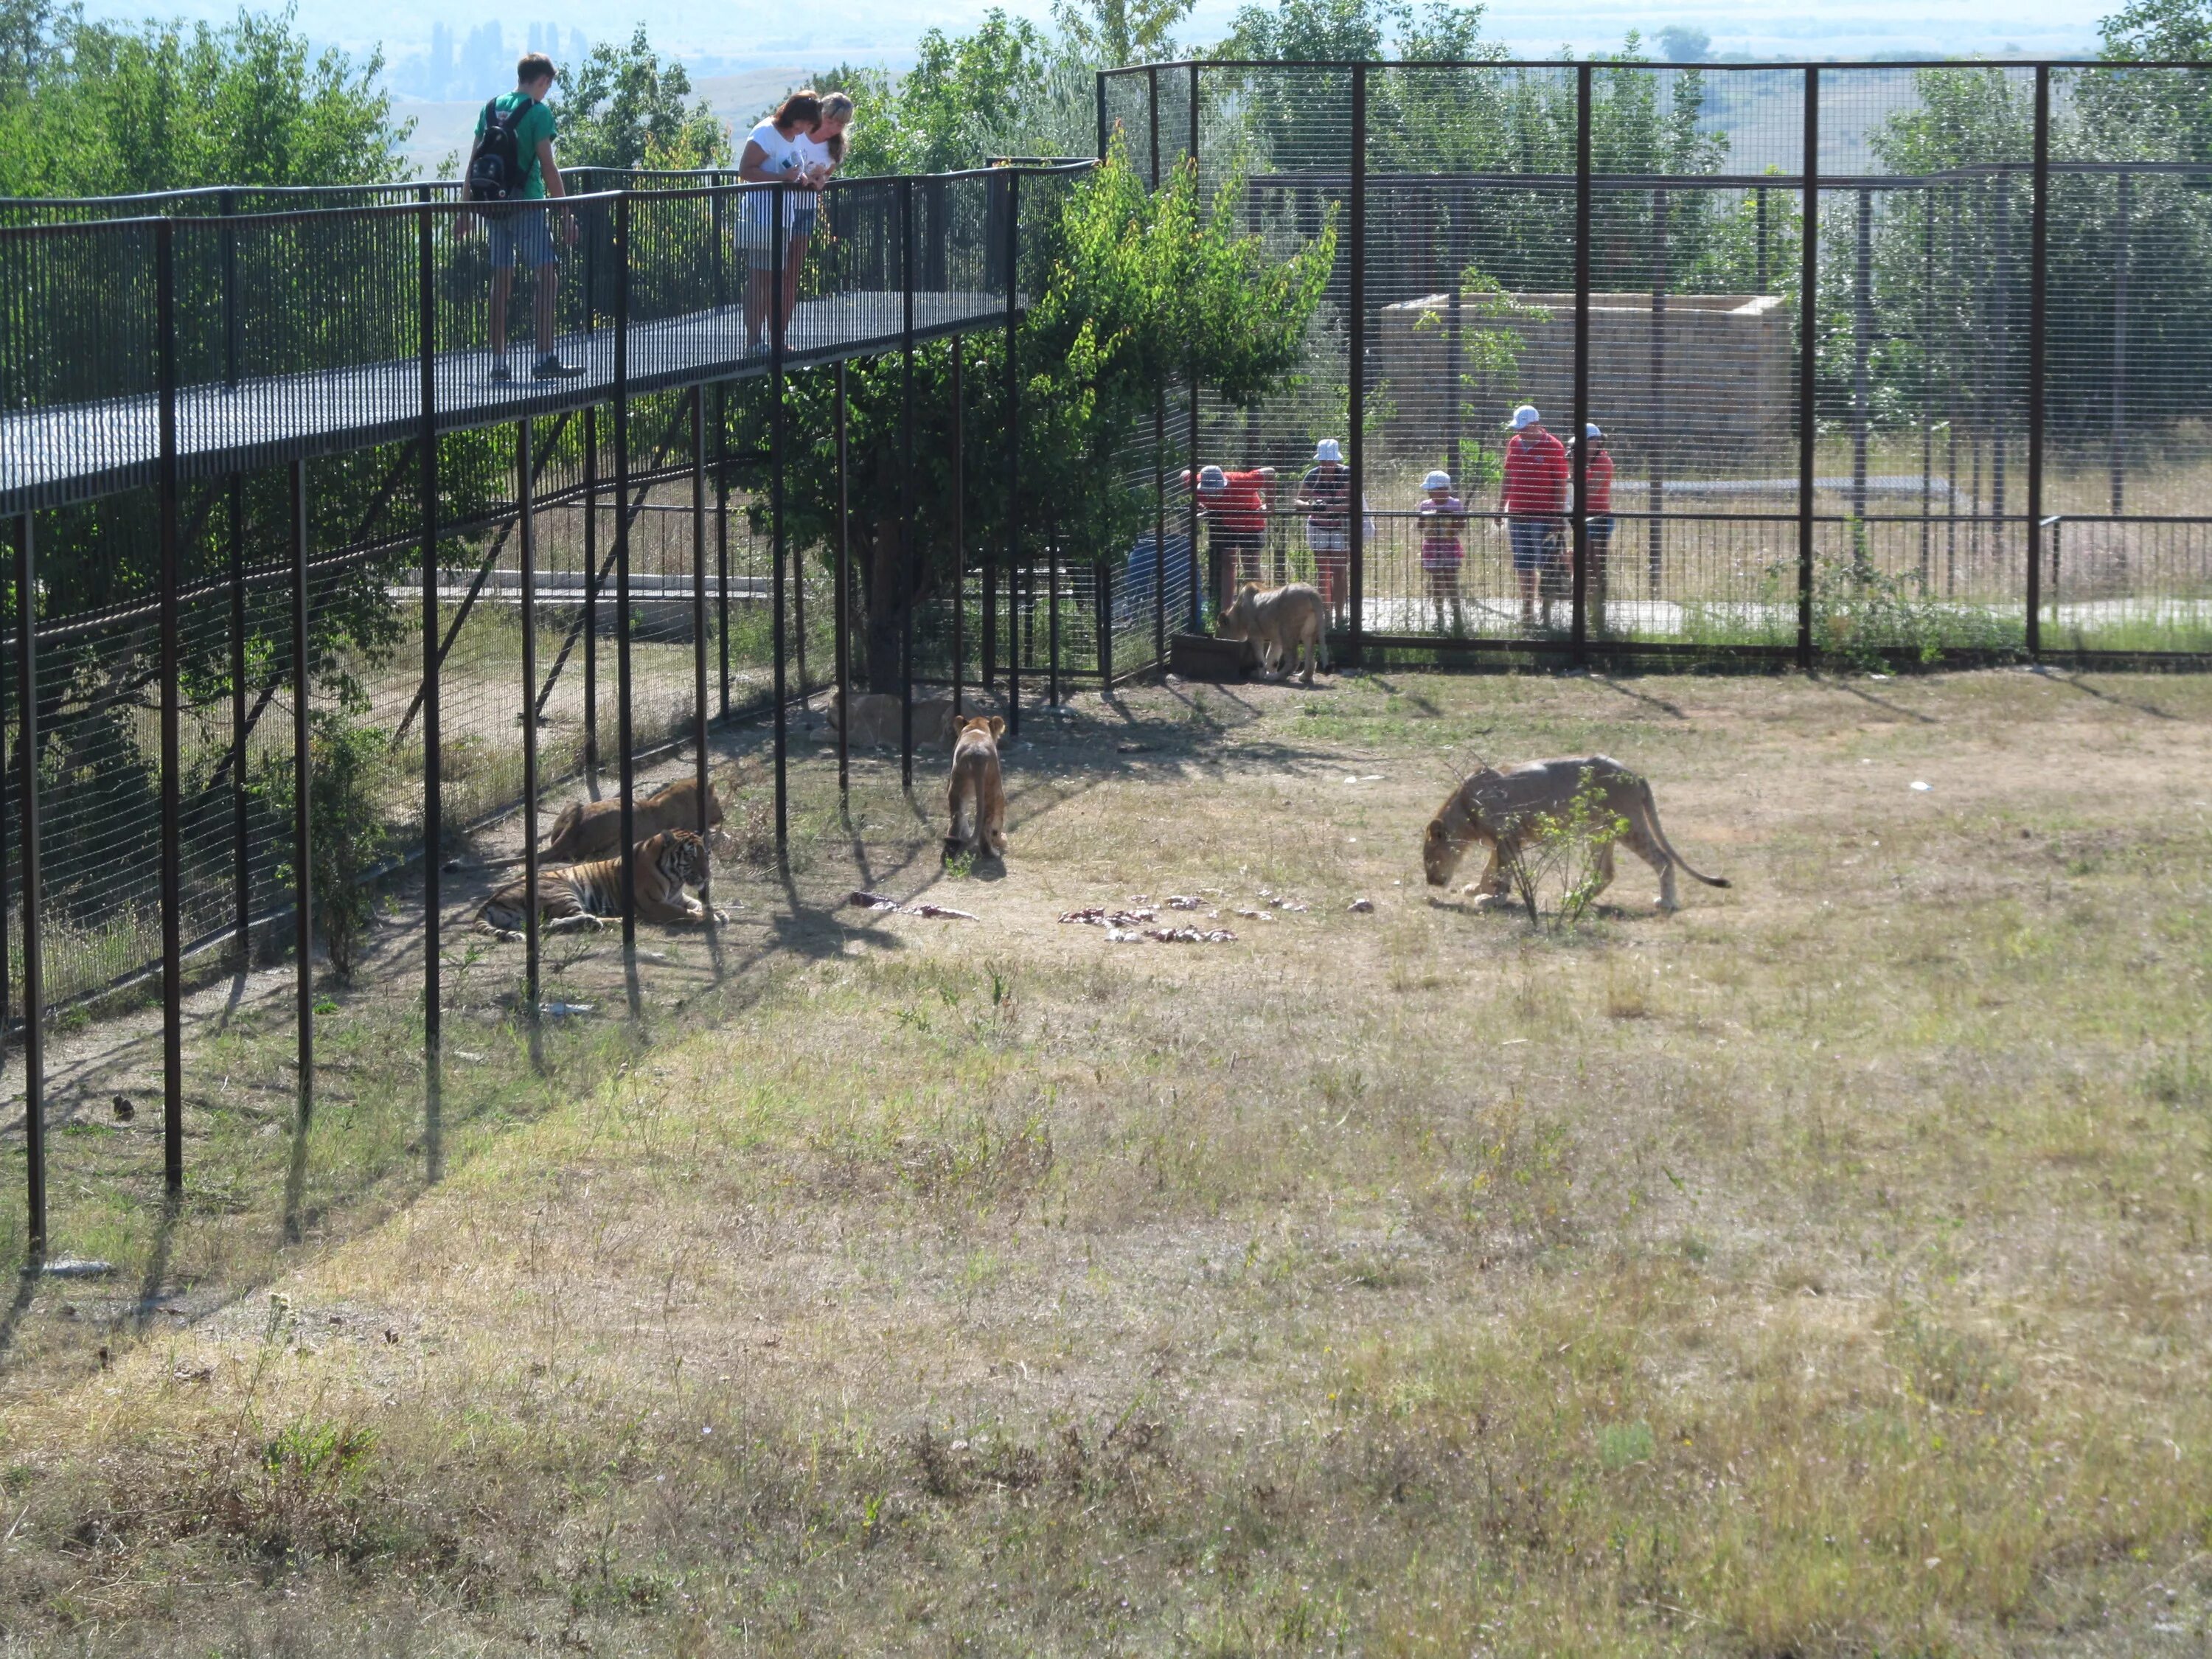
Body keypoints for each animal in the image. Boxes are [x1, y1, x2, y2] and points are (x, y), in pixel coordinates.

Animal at [476, 832, 726, 947]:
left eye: (706, 855)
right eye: (691, 857)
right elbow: (685, 913)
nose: (707, 875)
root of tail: (491, 900)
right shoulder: (654, 905)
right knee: (558, 920)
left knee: (546, 925)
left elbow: (696, 903)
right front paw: (709, 917)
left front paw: (718, 911)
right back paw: (610, 920)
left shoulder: (677, 897)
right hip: (561, 891)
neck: (675, 880)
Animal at [1425, 761, 1734, 916]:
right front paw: (1477, 889)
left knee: (1663, 858)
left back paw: (1666, 902)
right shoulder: (1505, 842)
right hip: (1599, 831)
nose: (1430, 882)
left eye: (1429, 859)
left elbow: (1502, 873)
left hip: (1628, 825)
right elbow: (1489, 869)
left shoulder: (1507, 838)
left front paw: (1491, 899)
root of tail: (1636, 774)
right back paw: (1575, 897)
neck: (1464, 807)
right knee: (1606, 872)